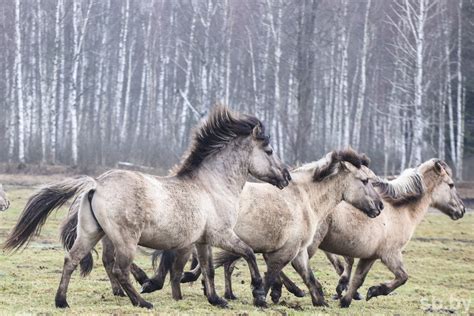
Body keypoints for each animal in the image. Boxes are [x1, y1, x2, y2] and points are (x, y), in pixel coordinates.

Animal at [3, 105, 290, 308]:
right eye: (269, 151)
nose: (286, 176)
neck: (211, 187)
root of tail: (96, 185)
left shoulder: (202, 241)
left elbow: (207, 269)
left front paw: (216, 299)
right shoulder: (222, 236)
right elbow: (248, 253)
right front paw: (258, 292)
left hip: (91, 233)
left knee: (71, 260)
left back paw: (61, 301)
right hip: (125, 239)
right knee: (118, 268)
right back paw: (142, 301)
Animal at [102, 149, 384, 308]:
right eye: (364, 181)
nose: (380, 207)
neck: (303, 199)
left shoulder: (298, 251)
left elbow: (311, 279)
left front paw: (320, 300)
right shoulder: (286, 250)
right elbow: (271, 273)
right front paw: (262, 296)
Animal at [270, 159, 466, 308]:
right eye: (451, 185)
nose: (462, 210)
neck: (399, 209)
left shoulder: (370, 256)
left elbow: (358, 278)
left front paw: (346, 300)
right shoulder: (390, 254)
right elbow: (402, 277)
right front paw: (374, 291)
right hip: (308, 244)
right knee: (287, 263)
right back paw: (290, 290)